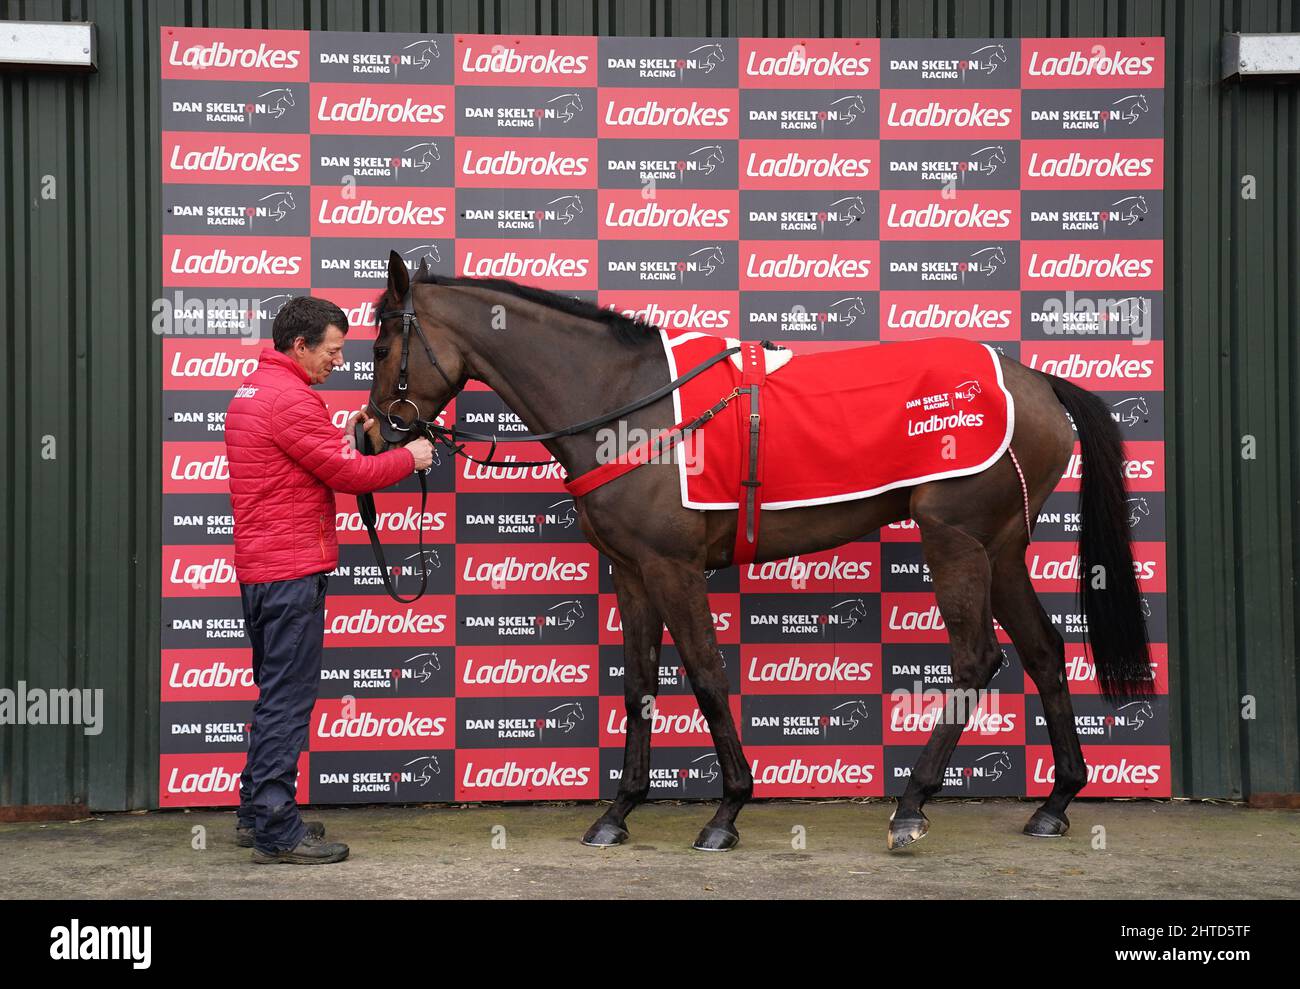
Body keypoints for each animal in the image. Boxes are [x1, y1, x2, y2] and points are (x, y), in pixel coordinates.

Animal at [364, 251, 1152, 852]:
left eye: (380, 348)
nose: (369, 434)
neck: (629, 403)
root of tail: (1038, 381)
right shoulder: (631, 571)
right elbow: (639, 683)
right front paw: (619, 811)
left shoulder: (673, 568)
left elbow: (707, 677)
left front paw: (727, 810)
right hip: (1002, 545)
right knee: (1045, 649)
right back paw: (1055, 801)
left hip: (955, 539)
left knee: (976, 659)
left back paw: (912, 804)